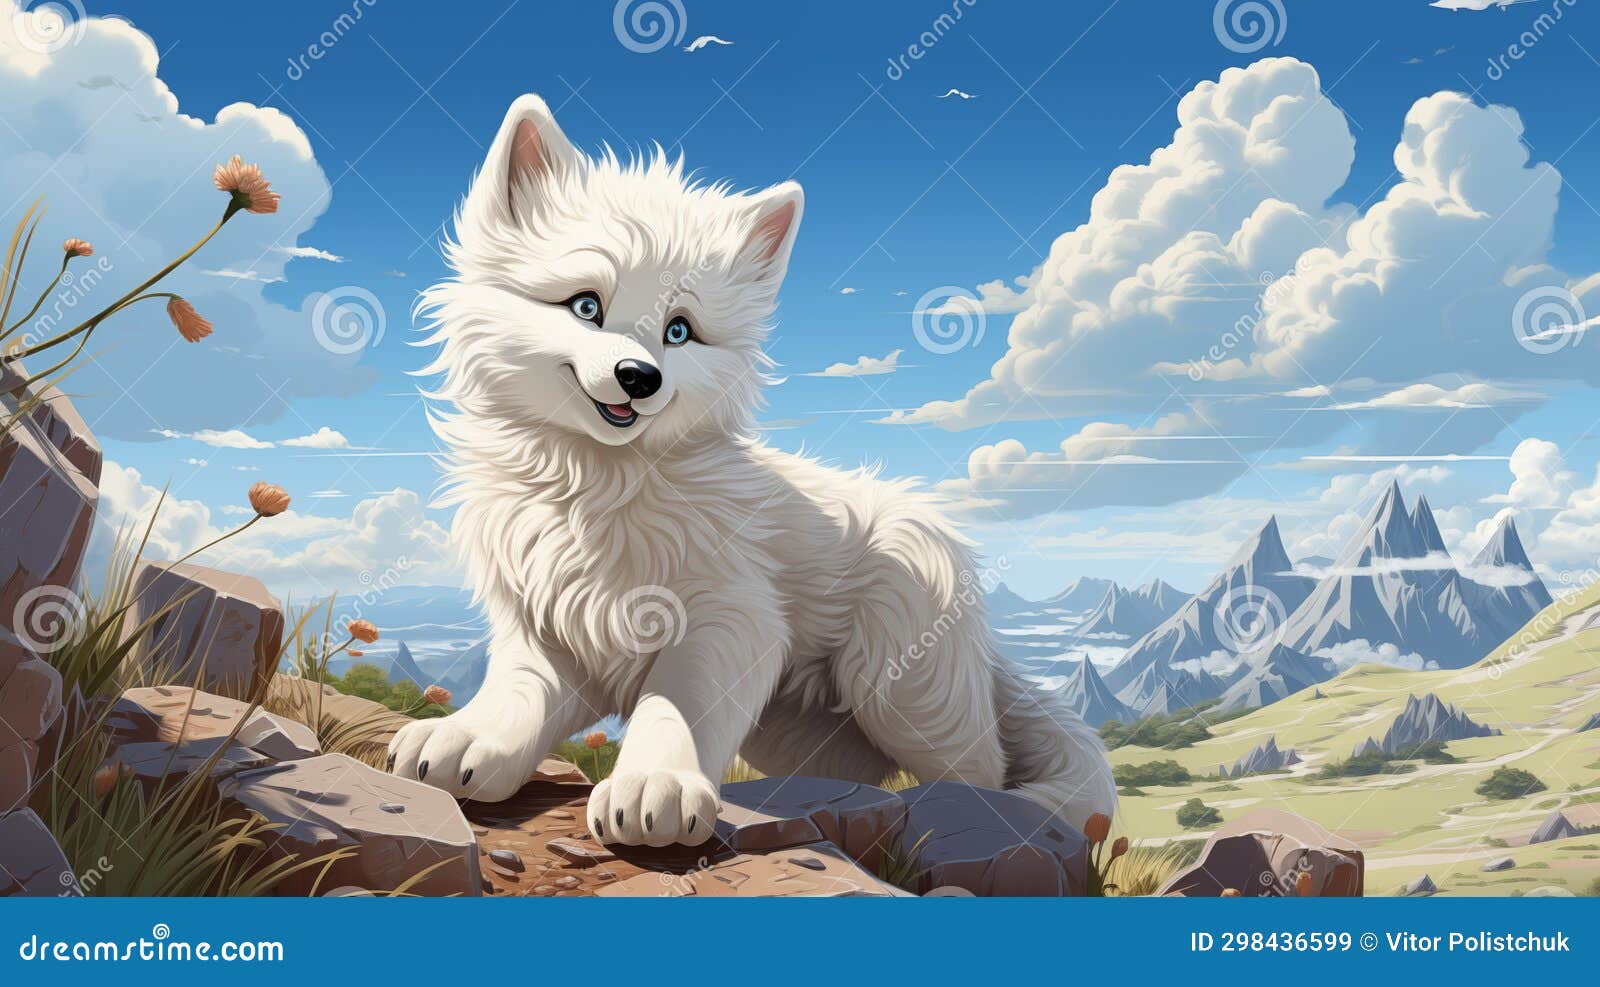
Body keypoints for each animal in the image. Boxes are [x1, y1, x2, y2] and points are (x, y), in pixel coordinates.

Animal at [392, 94, 1116, 847]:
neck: (595, 492)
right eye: (587, 306)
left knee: (986, 770)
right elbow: (516, 694)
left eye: (679, 331)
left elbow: (675, 703)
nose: (638, 377)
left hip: (906, 693)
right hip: (802, 732)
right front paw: (466, 739)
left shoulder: (732, 619)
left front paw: (656, 786)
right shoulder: (551, 623)